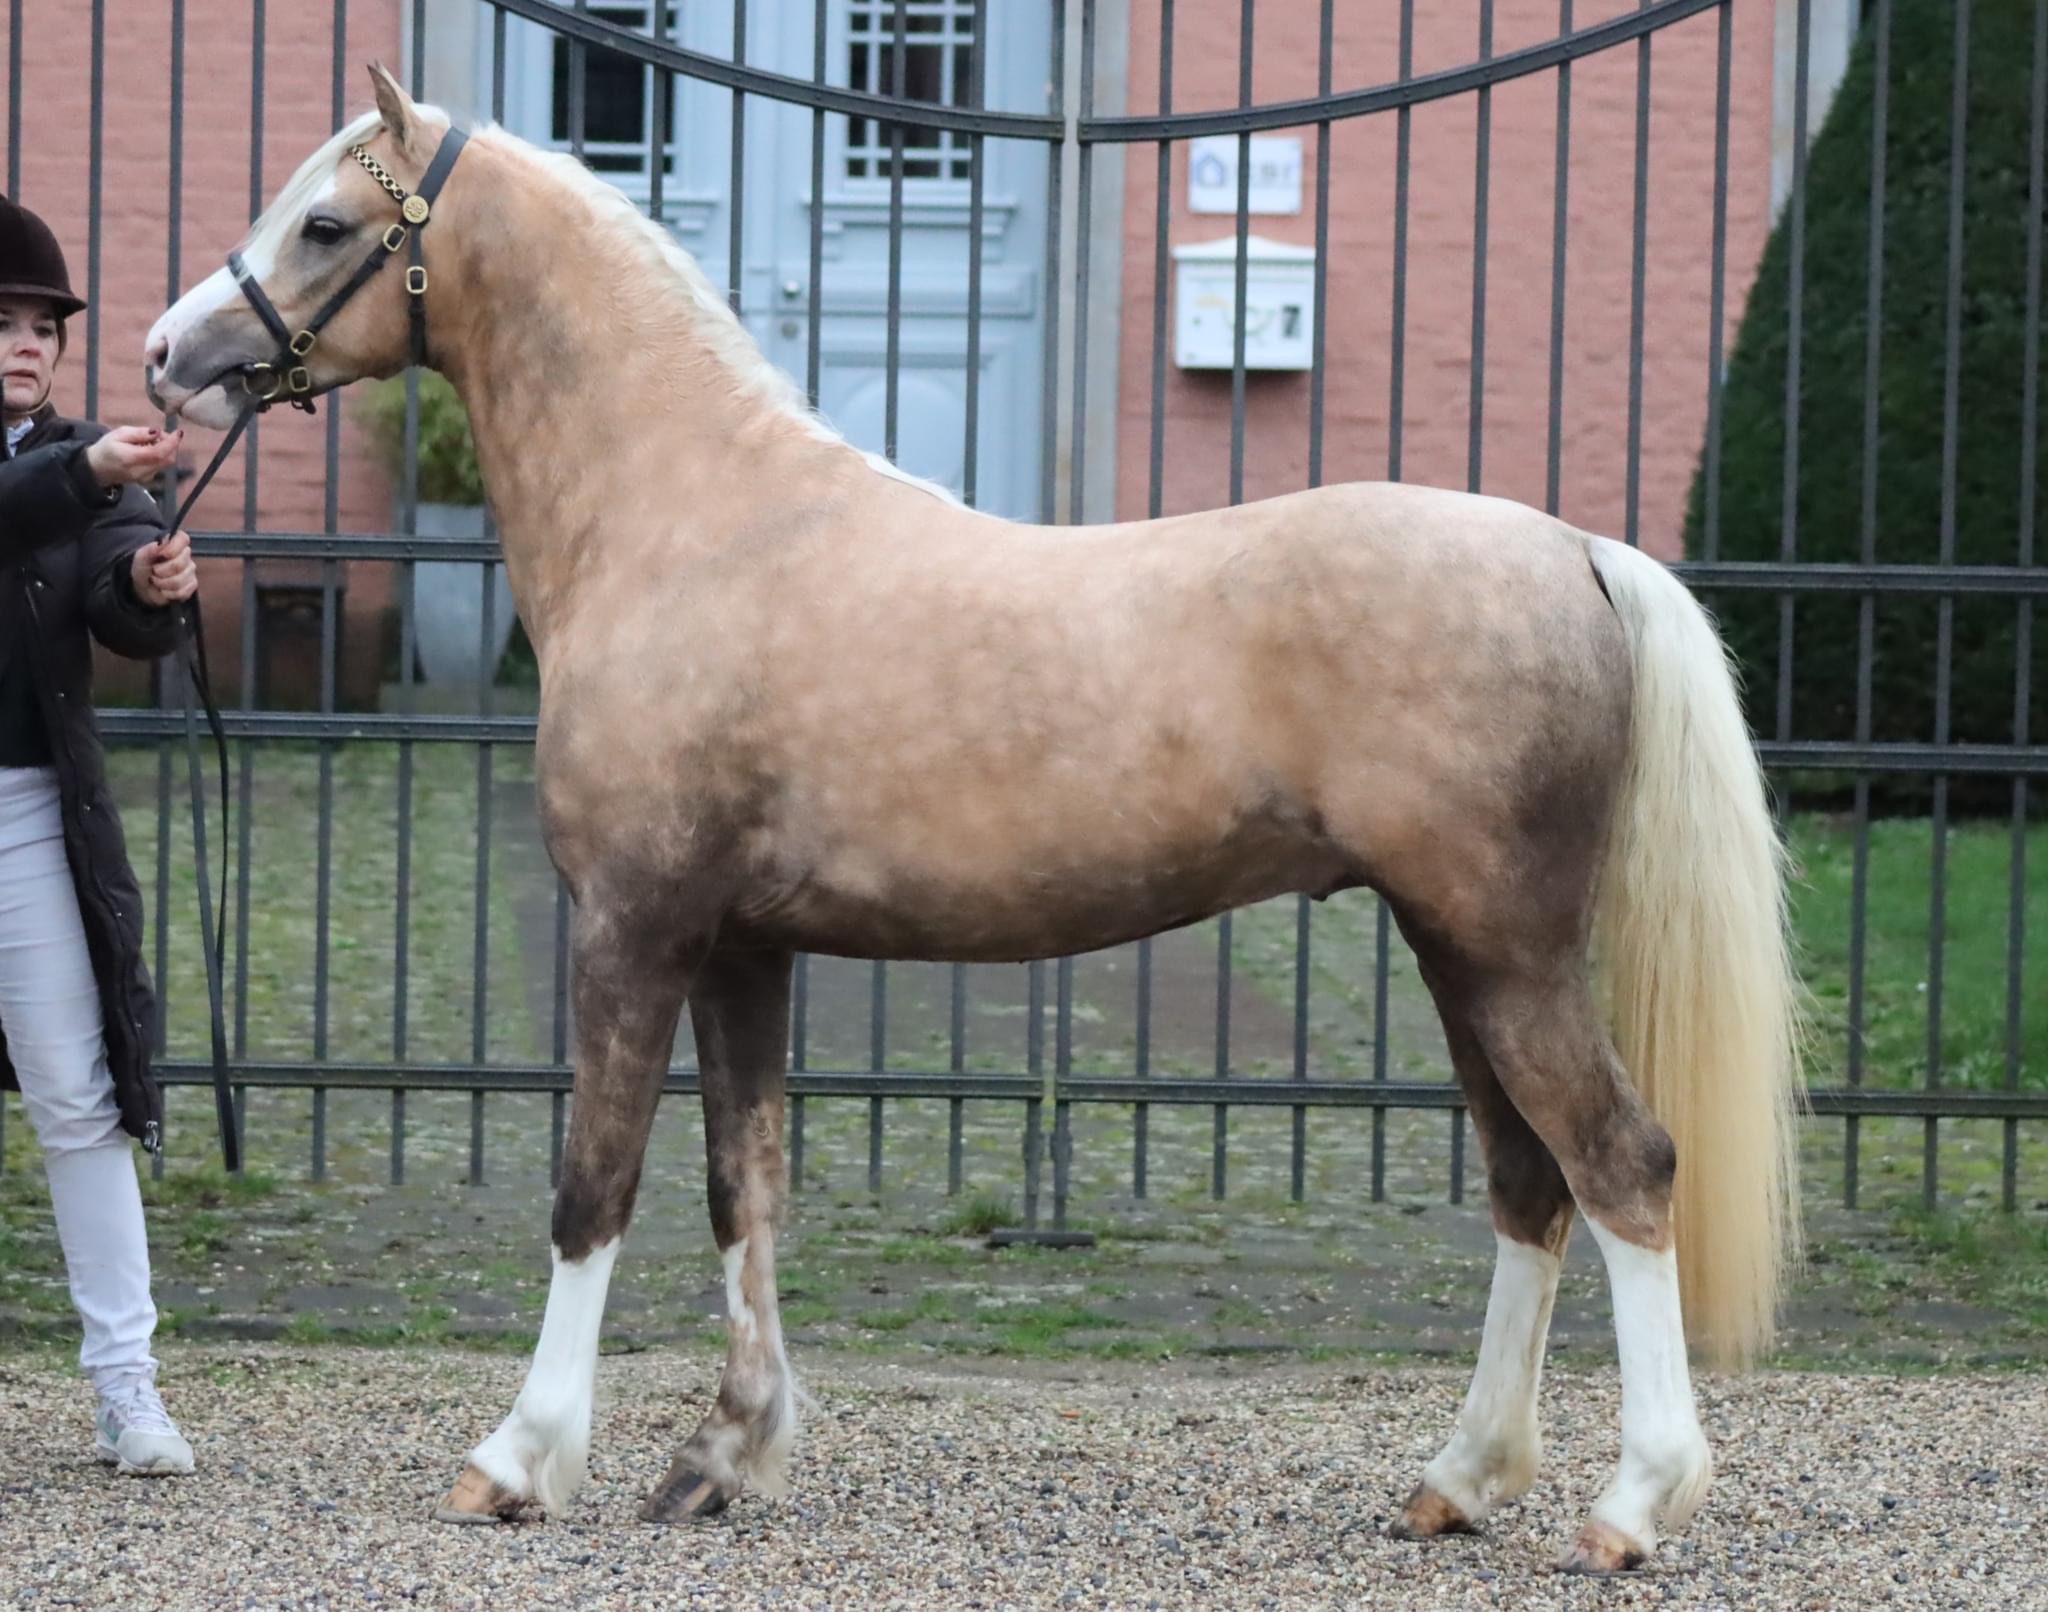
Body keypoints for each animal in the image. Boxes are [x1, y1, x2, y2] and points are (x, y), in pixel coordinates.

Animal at [145, 66, 1802, 1573]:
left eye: (327, 221)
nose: (171, 355)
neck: (691, 522)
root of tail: (1575, 549)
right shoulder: (742, 947)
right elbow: (745, 1187)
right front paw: (725, 1456)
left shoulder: (633, 926)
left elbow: (591, 1188)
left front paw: (520, 1459)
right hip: (1458, 951)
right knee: (1533, 1184)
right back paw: (1458, 1482)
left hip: (1506, 953)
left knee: (1623, 1166)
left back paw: (1633, 1505)